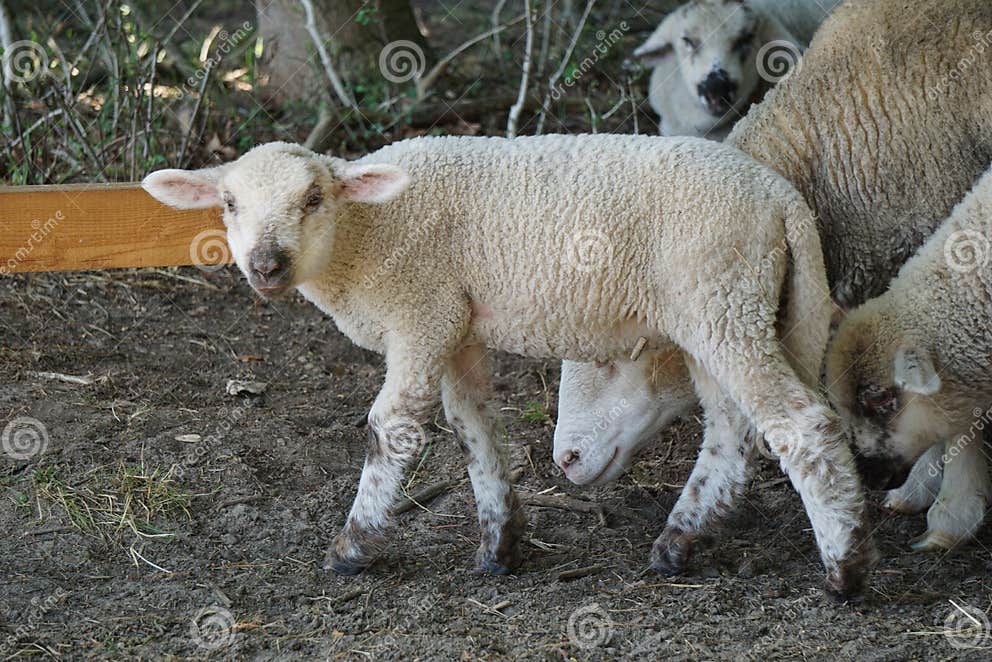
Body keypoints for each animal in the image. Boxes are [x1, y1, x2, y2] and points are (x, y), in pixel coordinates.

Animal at [142, 133, 875, 599]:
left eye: (314, 198)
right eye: (228, 204)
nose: (266, 265)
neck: (364, 234)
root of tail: (782, 200)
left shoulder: (420, 310)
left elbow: (394, 430)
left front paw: (352, 547)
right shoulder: (455, 323)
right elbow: (474, 430)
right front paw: (499, 545)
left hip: (722, 298)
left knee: (801, 423)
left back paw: (844, 571)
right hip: (718, 313)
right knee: (731, 431)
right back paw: (677, 543)